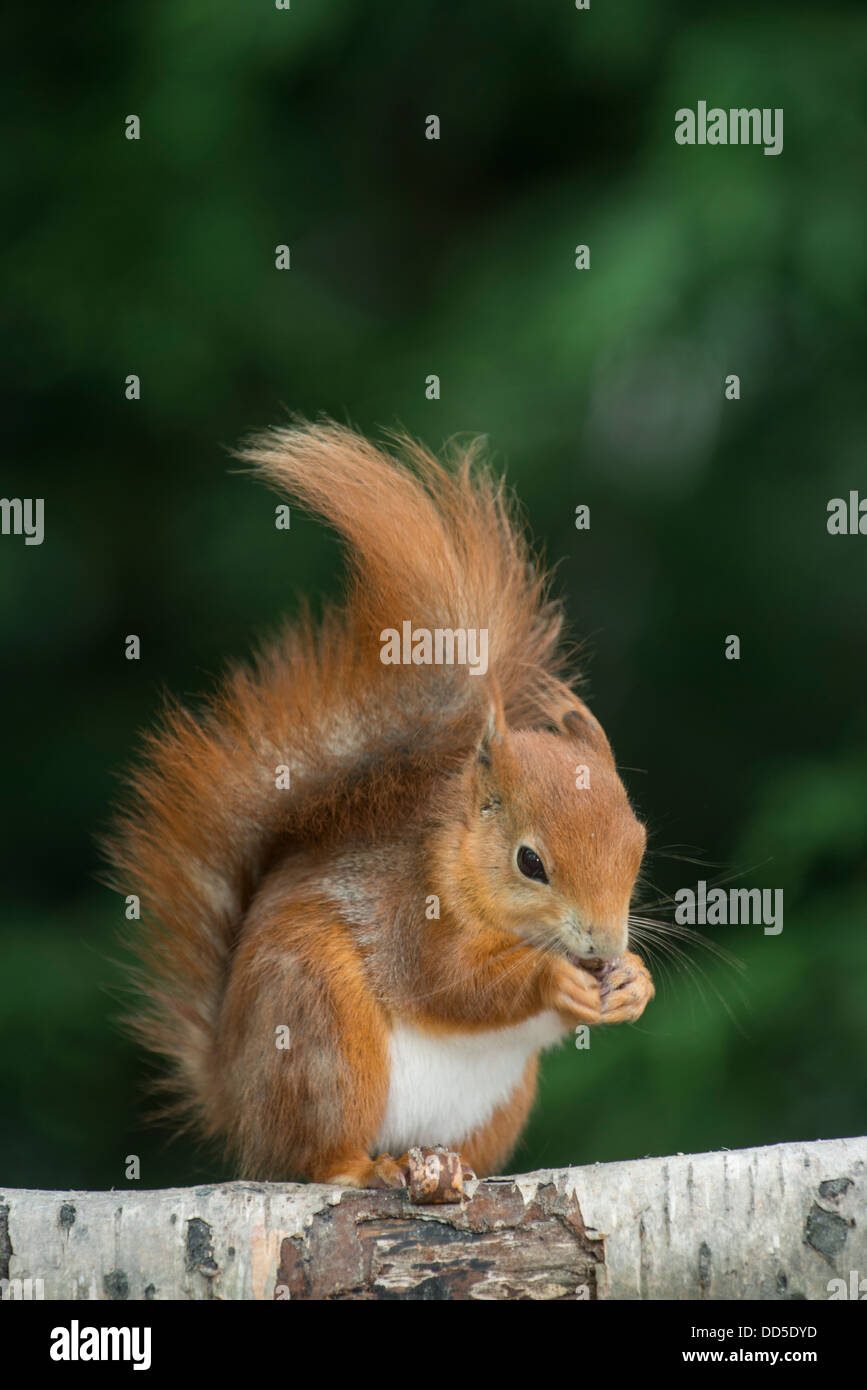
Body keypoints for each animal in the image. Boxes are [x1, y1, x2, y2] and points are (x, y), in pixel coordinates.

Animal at [106, 419, 654, 1188]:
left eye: (638, 844)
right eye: (530, 863)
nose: (604, 946)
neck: (464, 863)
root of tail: (237, 1105)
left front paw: (634, 983)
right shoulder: (412, 912)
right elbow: (453, 983)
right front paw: (553, 978)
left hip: (498, 1101)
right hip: (321, 1031)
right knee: (315, 1157)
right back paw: (364, 1168)